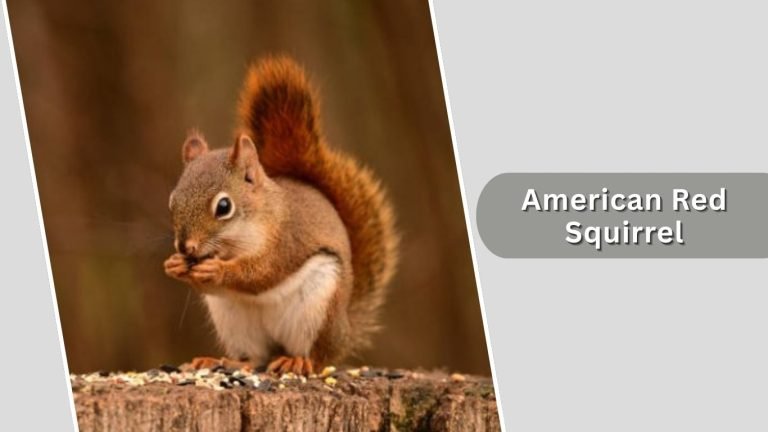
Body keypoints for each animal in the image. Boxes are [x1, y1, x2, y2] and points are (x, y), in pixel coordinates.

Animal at [163, 56, 398, 375]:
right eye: (172, 201)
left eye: (224, 207)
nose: (185, 247)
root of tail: (345, 331)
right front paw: (173, 265)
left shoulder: (287, 240)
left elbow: (263, 273)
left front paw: (220, 270)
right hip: (234, 322)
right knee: (255, 356)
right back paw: (225, 361)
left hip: (318, 307)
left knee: (317, 357)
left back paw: (297, 361)